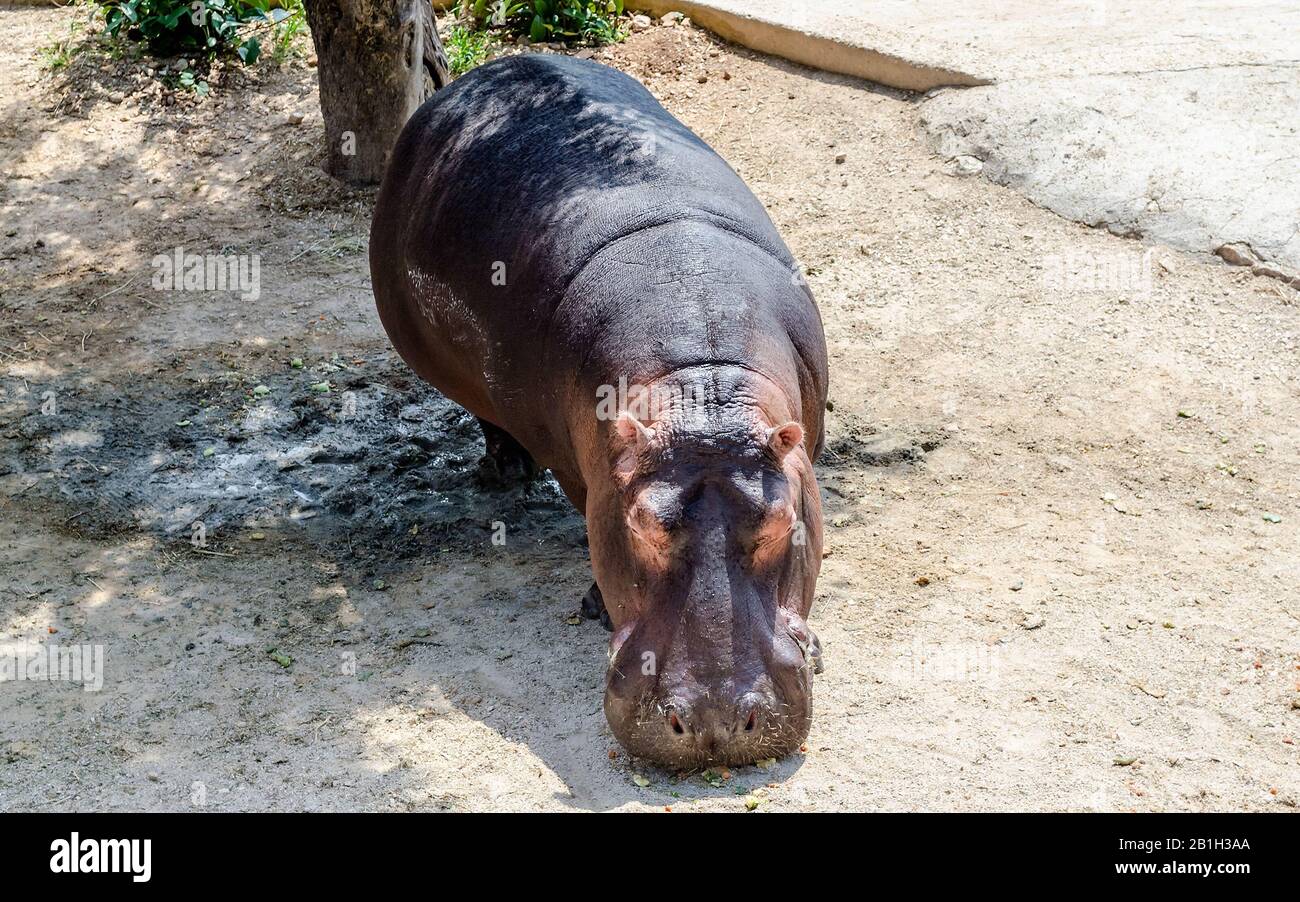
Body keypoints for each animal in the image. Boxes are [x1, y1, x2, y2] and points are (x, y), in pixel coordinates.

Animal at [370, 54, 828, 767]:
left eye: (781, 522)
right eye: (639, 524)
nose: (716, 723)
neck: (699, 381)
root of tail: (478, 75)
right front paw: (594, 604)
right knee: (488, 421)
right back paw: (505, 471)